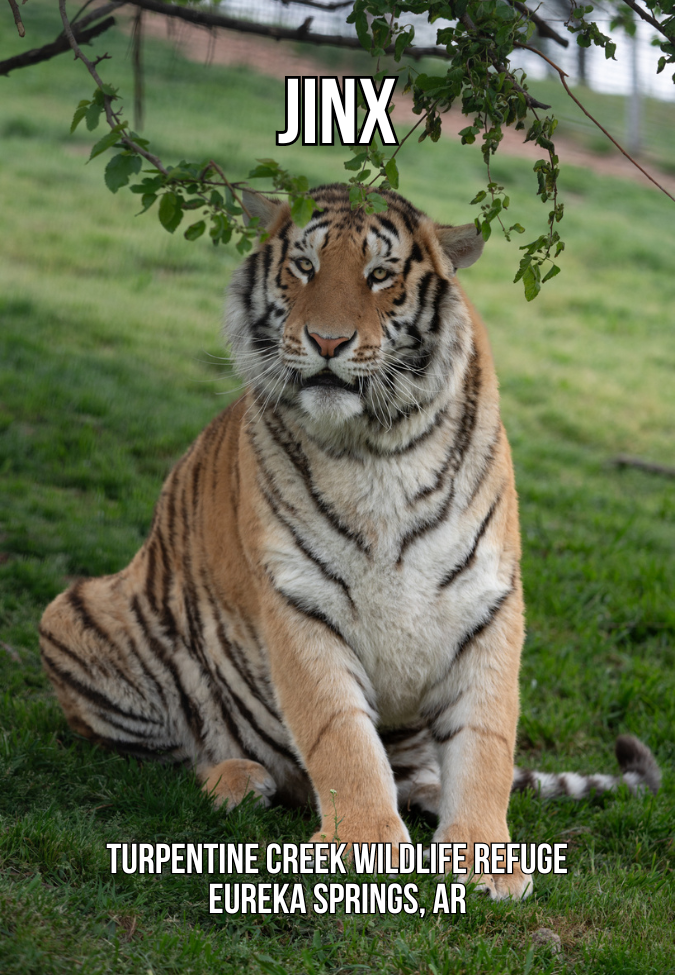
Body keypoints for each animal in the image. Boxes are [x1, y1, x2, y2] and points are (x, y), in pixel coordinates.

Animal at [39, 184, 660, 901]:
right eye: (304, 267)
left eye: (379, 275)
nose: (328, 340)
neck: (381, 447)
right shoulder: (299, 598)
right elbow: (339, 733)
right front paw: (363, 843)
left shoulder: (488, 601)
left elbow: (486, 738)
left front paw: (483, 858)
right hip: (73, 613)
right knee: (180, 751)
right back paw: (236, 777)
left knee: (427, 774)